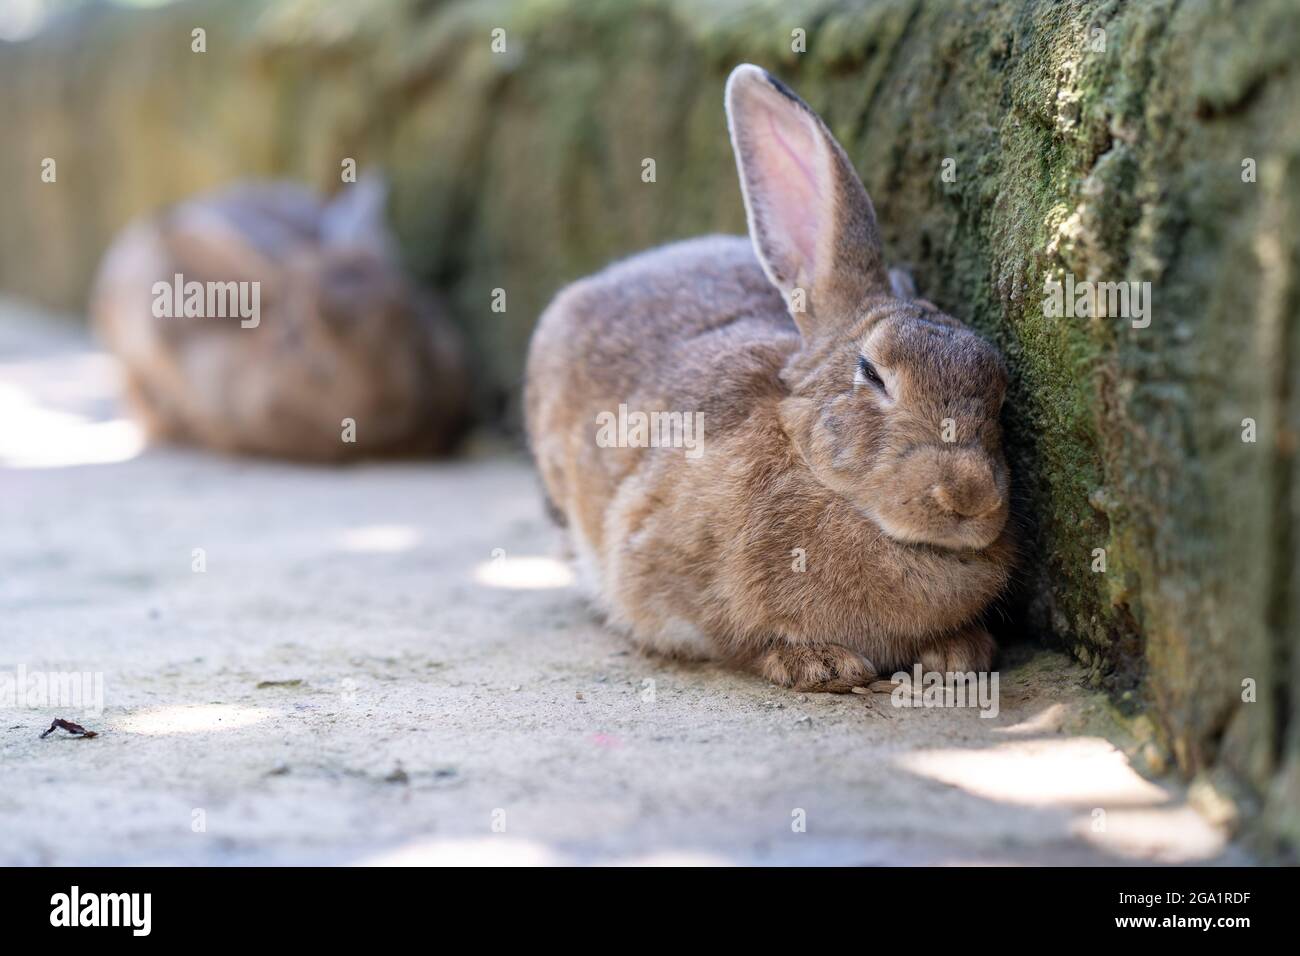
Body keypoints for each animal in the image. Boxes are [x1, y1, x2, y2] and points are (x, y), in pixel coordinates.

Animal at [524, 64, 1015, 692]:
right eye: (872, 374)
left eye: (1001, 395)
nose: (970, 495)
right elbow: (739, 641)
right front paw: (821, 665)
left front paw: (957, 656)